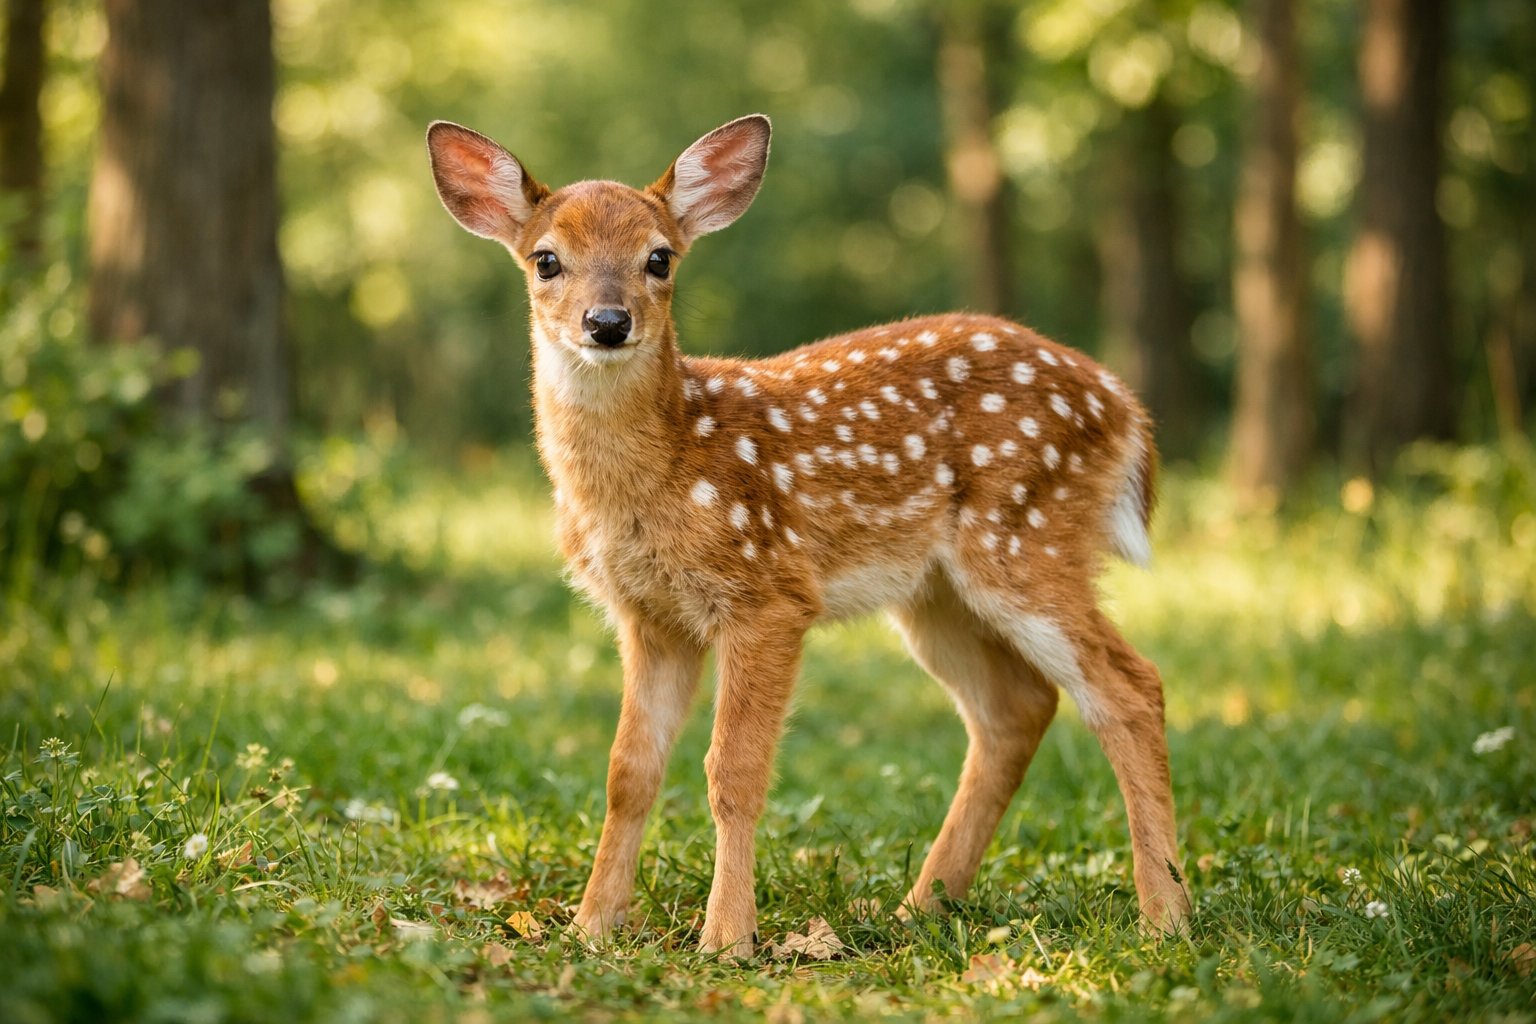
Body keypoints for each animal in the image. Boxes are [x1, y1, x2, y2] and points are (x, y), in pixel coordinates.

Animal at [426, 113, 1191, 958]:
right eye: (546, 260)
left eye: (659, 258)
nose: (608, 323)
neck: (663, 468)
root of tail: (1128, 409)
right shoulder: (649, 617)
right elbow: (628, 772)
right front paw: (592, 927)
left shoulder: (768, 592)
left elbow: (733, 772)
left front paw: (727, 939)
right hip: (933, 594)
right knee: (1016, 708)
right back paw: (917, 907)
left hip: (1027, 537)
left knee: (1129, 686)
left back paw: (1165, 915)